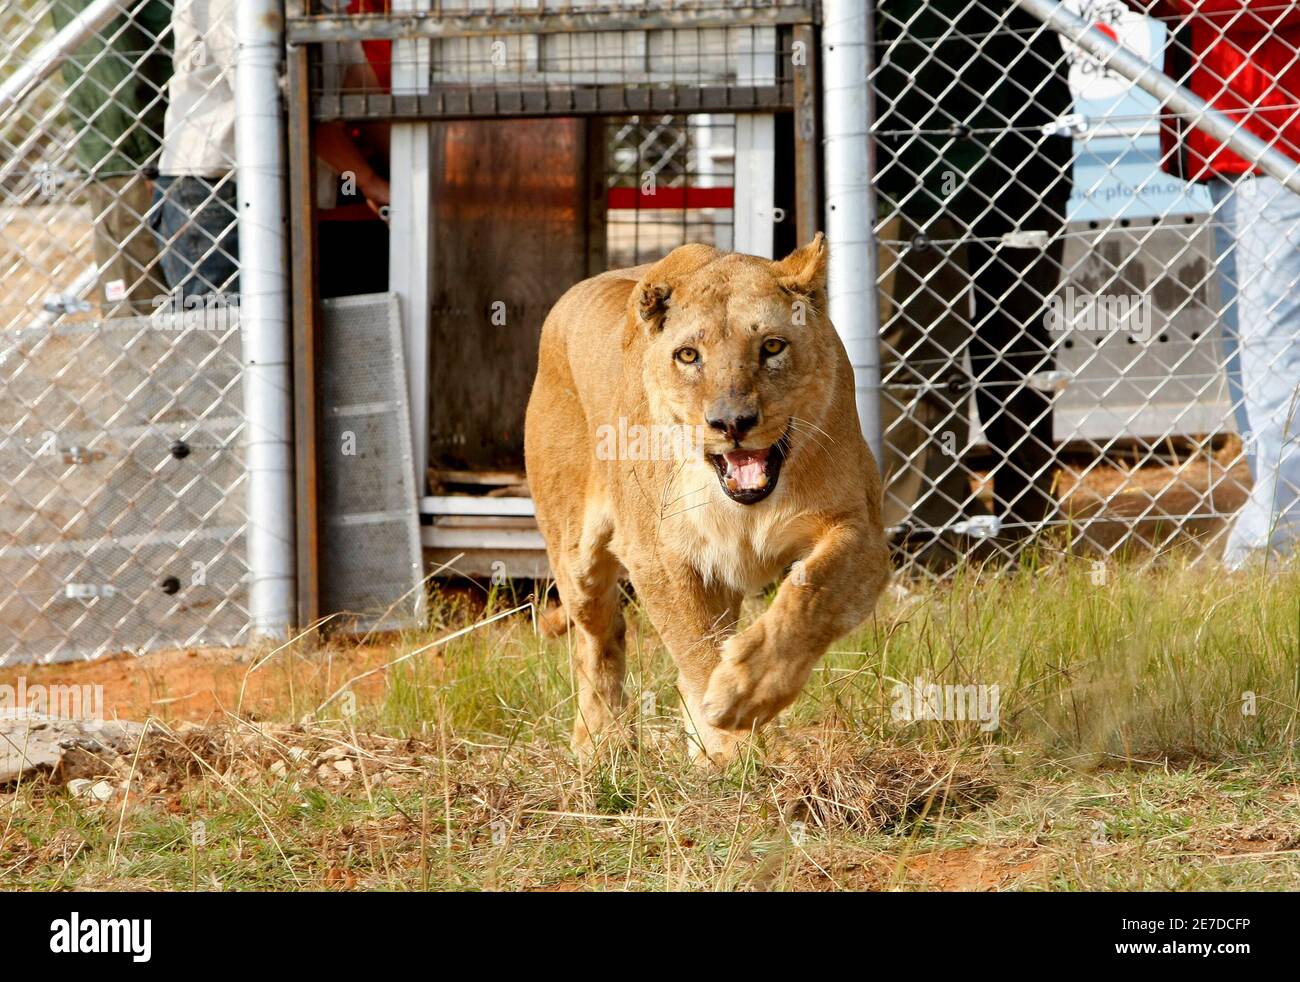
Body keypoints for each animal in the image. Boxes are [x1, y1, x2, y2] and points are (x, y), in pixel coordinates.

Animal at [524, 234, 890, 762]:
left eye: (772, 346)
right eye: (688, 356)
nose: (731, 422)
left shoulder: (860, 531)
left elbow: (810, 594)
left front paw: (747, 696)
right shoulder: (658, 555)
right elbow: (696, 647)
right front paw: (734, 739)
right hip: (576, 557)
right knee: (599, 640)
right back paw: (600, 743)